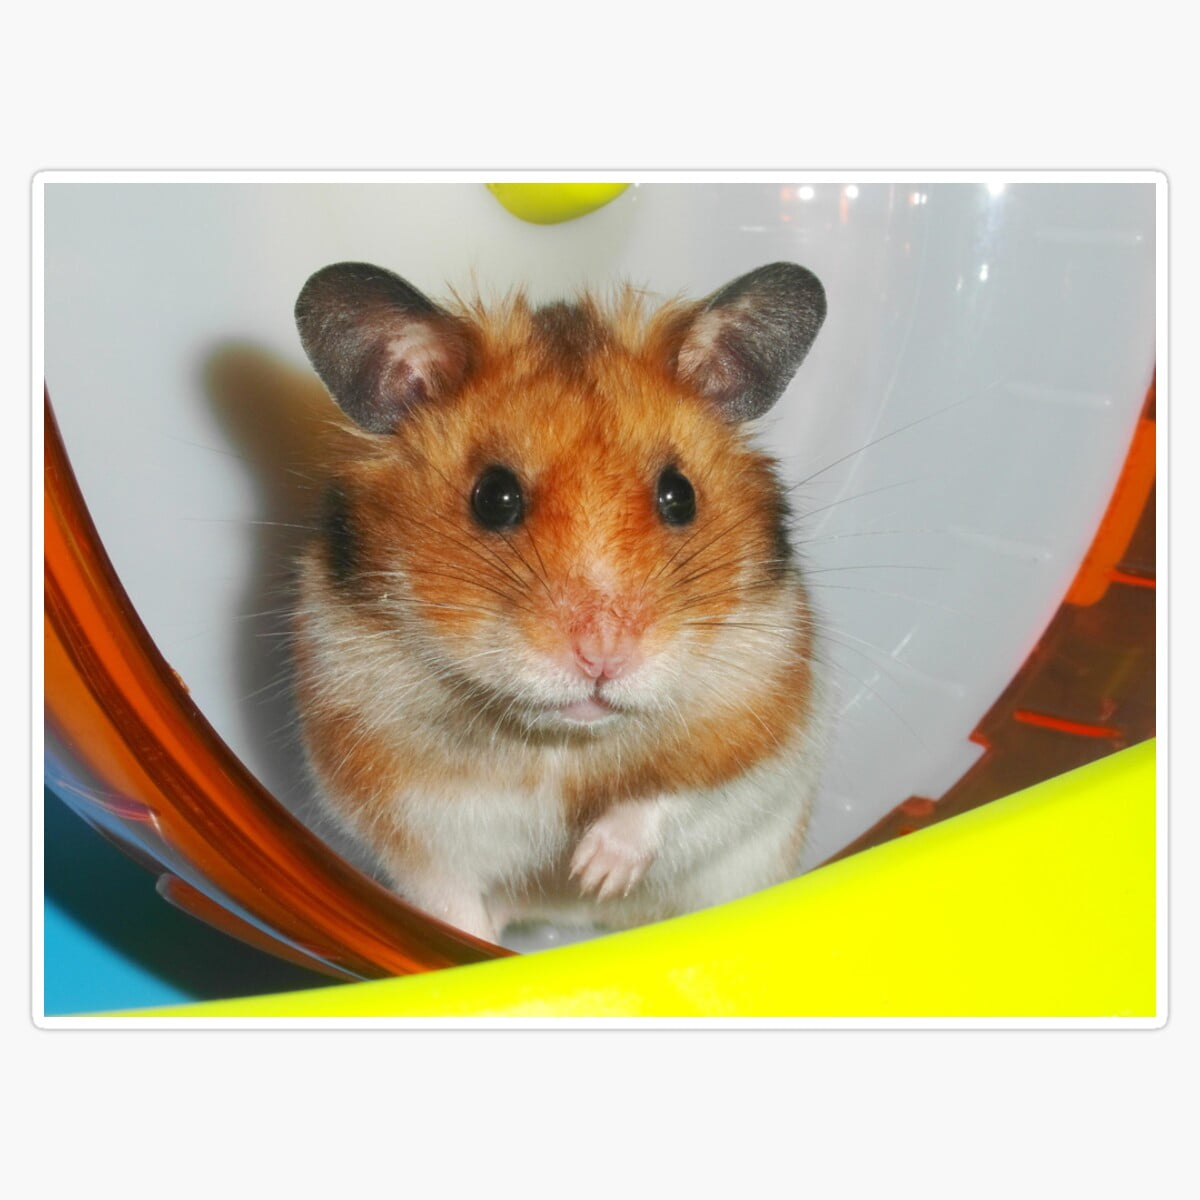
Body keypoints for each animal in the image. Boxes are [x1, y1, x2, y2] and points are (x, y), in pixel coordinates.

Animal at [290, 260, 828, 944]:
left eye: (679, 495)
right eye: (493, 497)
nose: (603, 656)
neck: (564, 745)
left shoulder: (763, 732)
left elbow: (676, 793)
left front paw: (593, 871)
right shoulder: (399, 813)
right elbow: (447, 902)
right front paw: (479, 947)